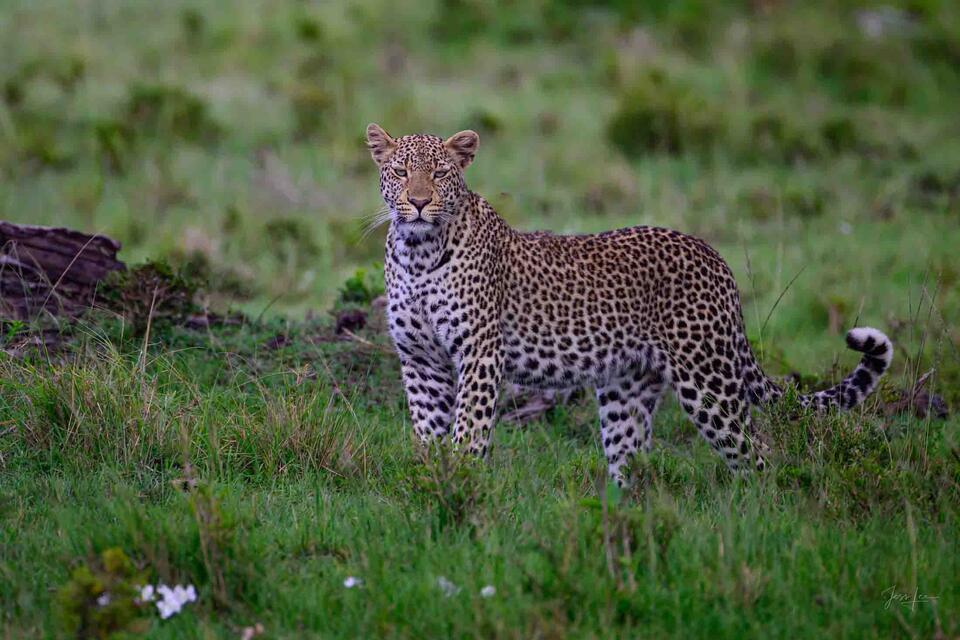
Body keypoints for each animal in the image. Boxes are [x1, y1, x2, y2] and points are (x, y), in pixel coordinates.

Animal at [365, 123, 893, 485]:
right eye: (400, 171)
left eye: (439, 173)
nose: (417, 202)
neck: (418, 252)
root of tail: (715, 257)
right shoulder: (421, 360)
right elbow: (428, 433)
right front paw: (430, 483)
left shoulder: (478, 355)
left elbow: (468, 432)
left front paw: (461, 484)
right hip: (627, 389)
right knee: (634, 464)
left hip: (708, 379)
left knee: (756, 454)